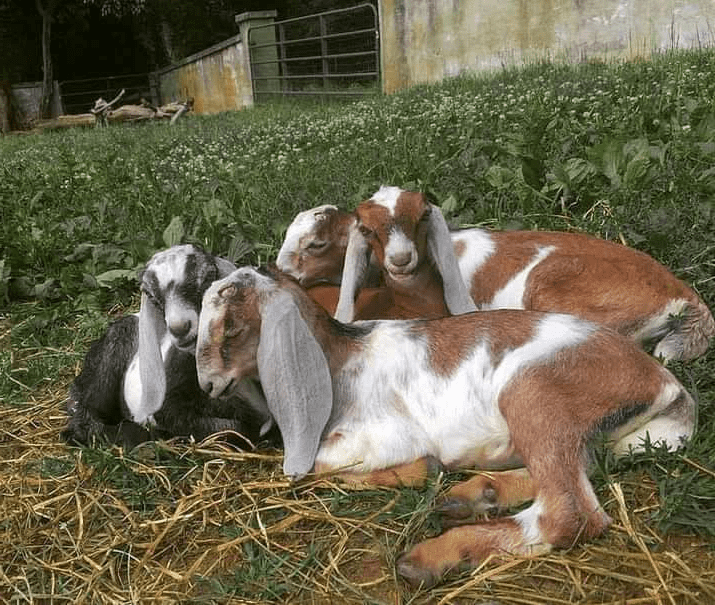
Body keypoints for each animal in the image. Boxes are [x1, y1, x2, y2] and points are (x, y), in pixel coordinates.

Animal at [195, 265, 696, 587]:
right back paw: (475, 495)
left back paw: (436, 556)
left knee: (571, 512)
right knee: (580, 466)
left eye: (232, 326)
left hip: (532, 390)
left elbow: (321, 462)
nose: (207, 384)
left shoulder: (386, 433)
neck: (340, 361)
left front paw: (423, 469)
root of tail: (664, 383)